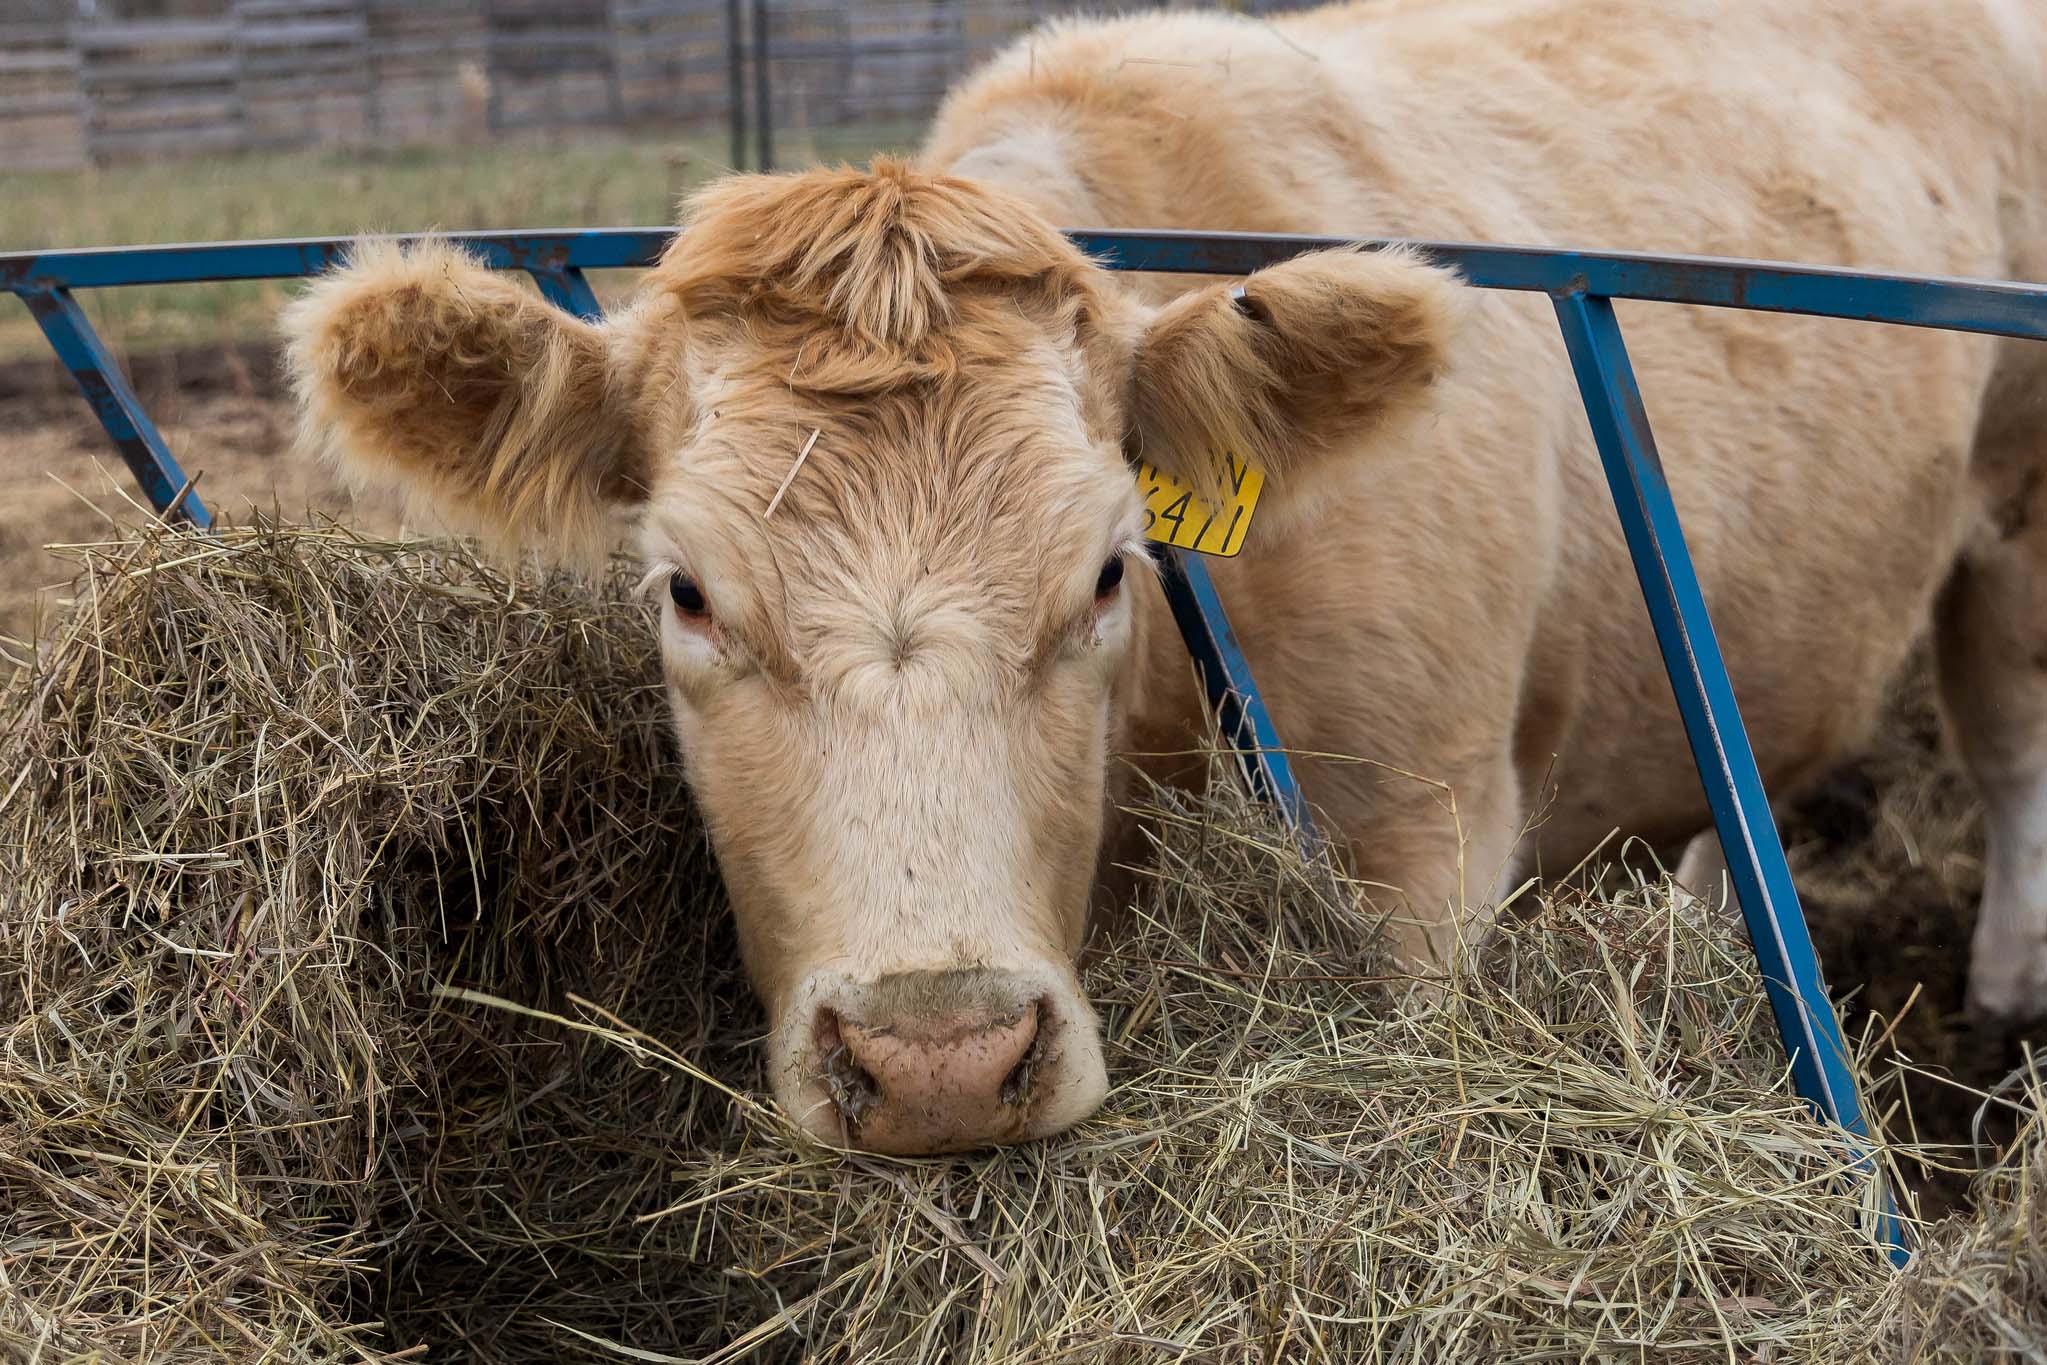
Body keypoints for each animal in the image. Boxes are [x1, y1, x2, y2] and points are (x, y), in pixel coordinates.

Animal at [283, 0, 2047, 1155]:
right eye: (687, 594)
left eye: (1105, 571)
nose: (936, 1061)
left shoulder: (1421, 834)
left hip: (2016, 523)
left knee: (2006, 737)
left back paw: (2005, 993)